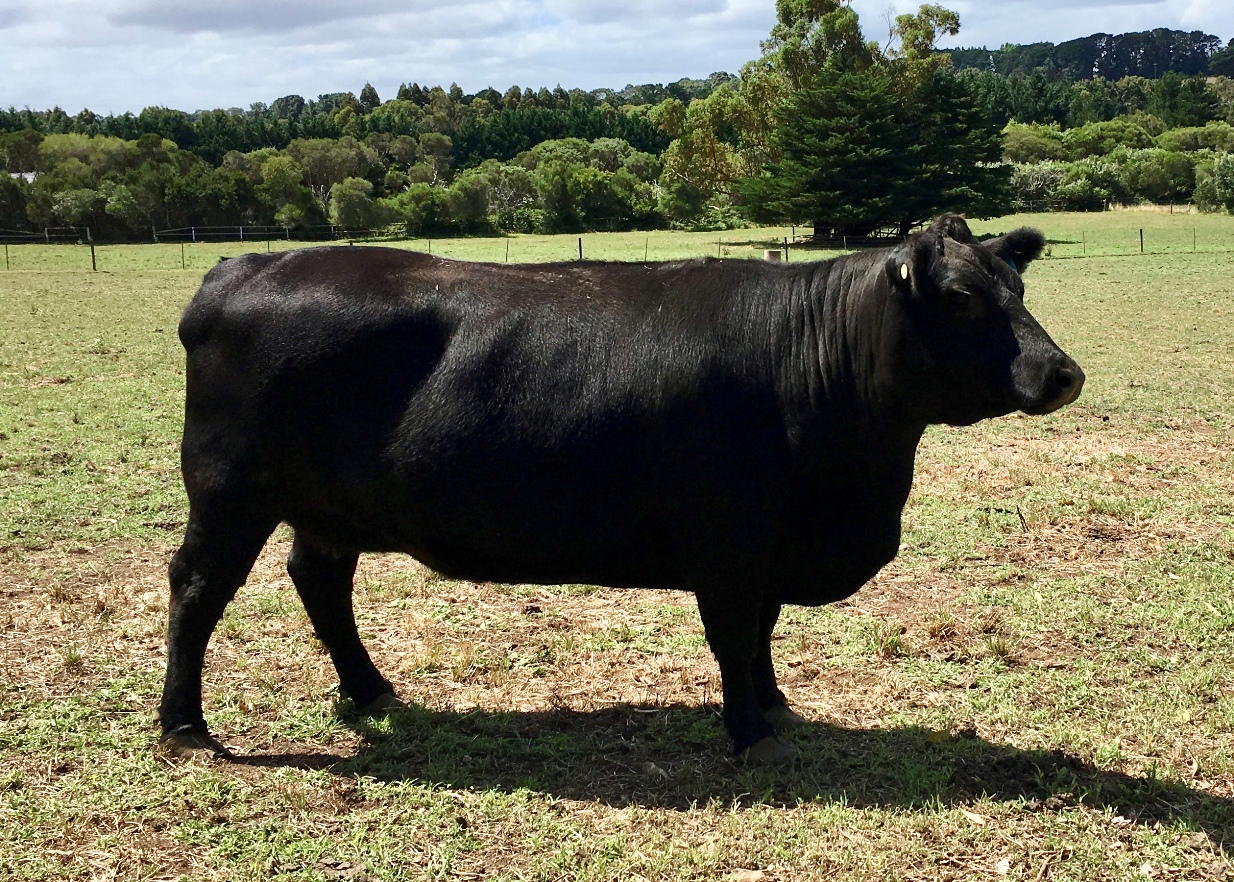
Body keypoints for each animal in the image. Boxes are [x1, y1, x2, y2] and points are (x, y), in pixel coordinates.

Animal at [157, 214, 1083, 764]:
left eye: (1018, 288)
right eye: (959, 296)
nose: (1062, 372)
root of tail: (244, 266)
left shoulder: (770, 544)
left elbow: (763, 634)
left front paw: (776, 706)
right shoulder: (729, 541)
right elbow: (733, 636)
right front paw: (747, 730)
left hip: (326, 509)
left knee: (319, 580)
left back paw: (369, 689)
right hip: (229, 493)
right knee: (198, 590)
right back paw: (185, 726)